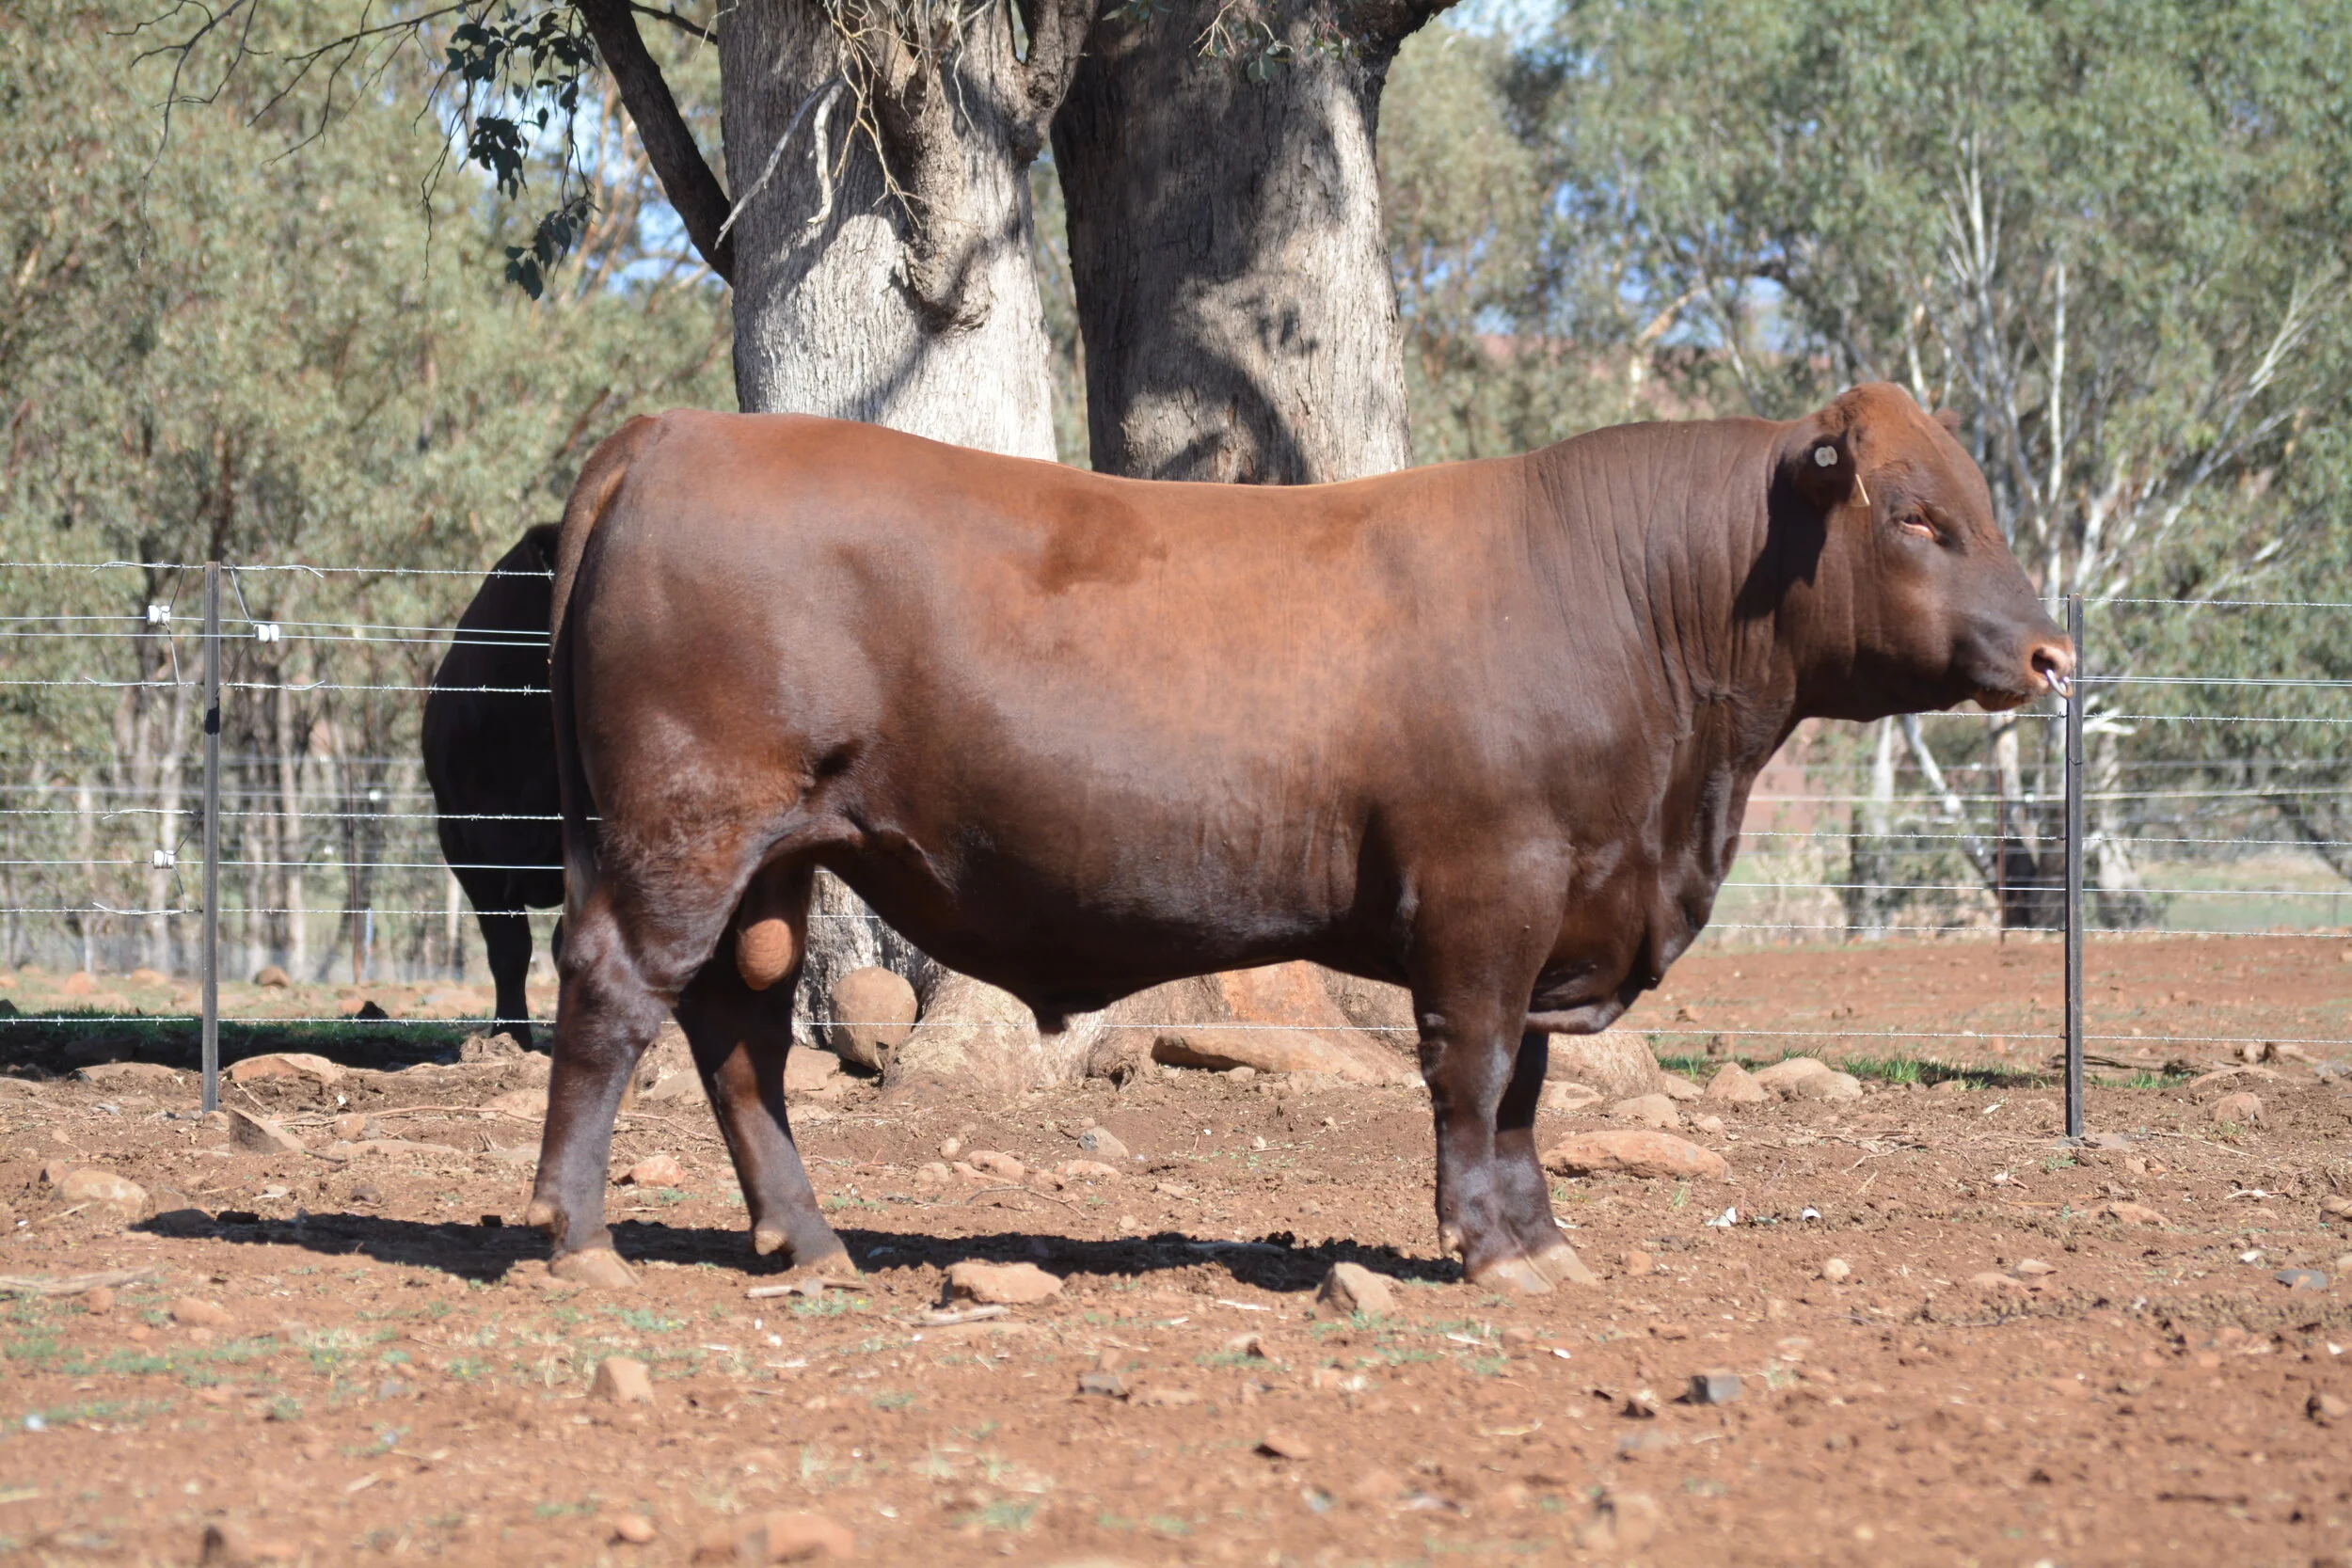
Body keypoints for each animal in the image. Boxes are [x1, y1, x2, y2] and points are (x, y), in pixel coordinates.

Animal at [527, 383, 2072, 1293]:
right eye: (1916, 515)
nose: (2052, 652)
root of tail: (681, 430)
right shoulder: (1491, 892)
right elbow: (1477, 1071)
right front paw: (1486, 1245)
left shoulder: (1563, 910)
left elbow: (1527, 1092)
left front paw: (1542, 1240)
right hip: (689, 820)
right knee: (614, 988)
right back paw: (580, 1233)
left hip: (771, 854)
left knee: (737, 1027)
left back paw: (810, 1239)